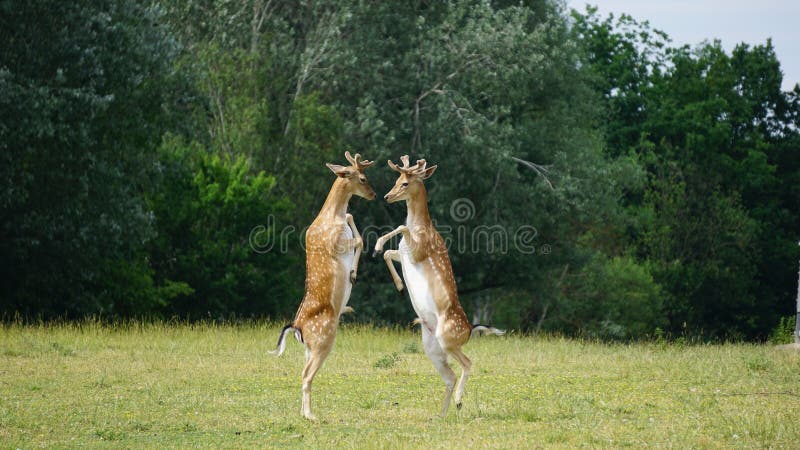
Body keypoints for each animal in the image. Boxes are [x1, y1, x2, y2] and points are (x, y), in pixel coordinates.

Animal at [271, 151, 375, 420]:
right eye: (362, 177)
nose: (373, 194)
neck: (330, 216)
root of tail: (296, 327)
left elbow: (352, 220)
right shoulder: (338, 243)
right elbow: (360, 240)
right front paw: (352, 273)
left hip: (310, 347)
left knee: (303, 372)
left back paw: (303, 412)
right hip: (323, 340)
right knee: (306, 374)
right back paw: (310, 415)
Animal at [373, 155, 504, 417]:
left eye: (405, 183)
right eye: (396, 179)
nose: (387, 196)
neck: (421, 227)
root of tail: (470, 330)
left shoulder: (418, 251)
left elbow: (401, 228)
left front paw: (378, 245)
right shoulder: (404, 254)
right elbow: (390, 252)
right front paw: (399, 285)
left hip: (447, 338)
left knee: (468, 363)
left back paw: (459, 402)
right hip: (432, 347)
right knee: (450, 375)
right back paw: (441, 415)